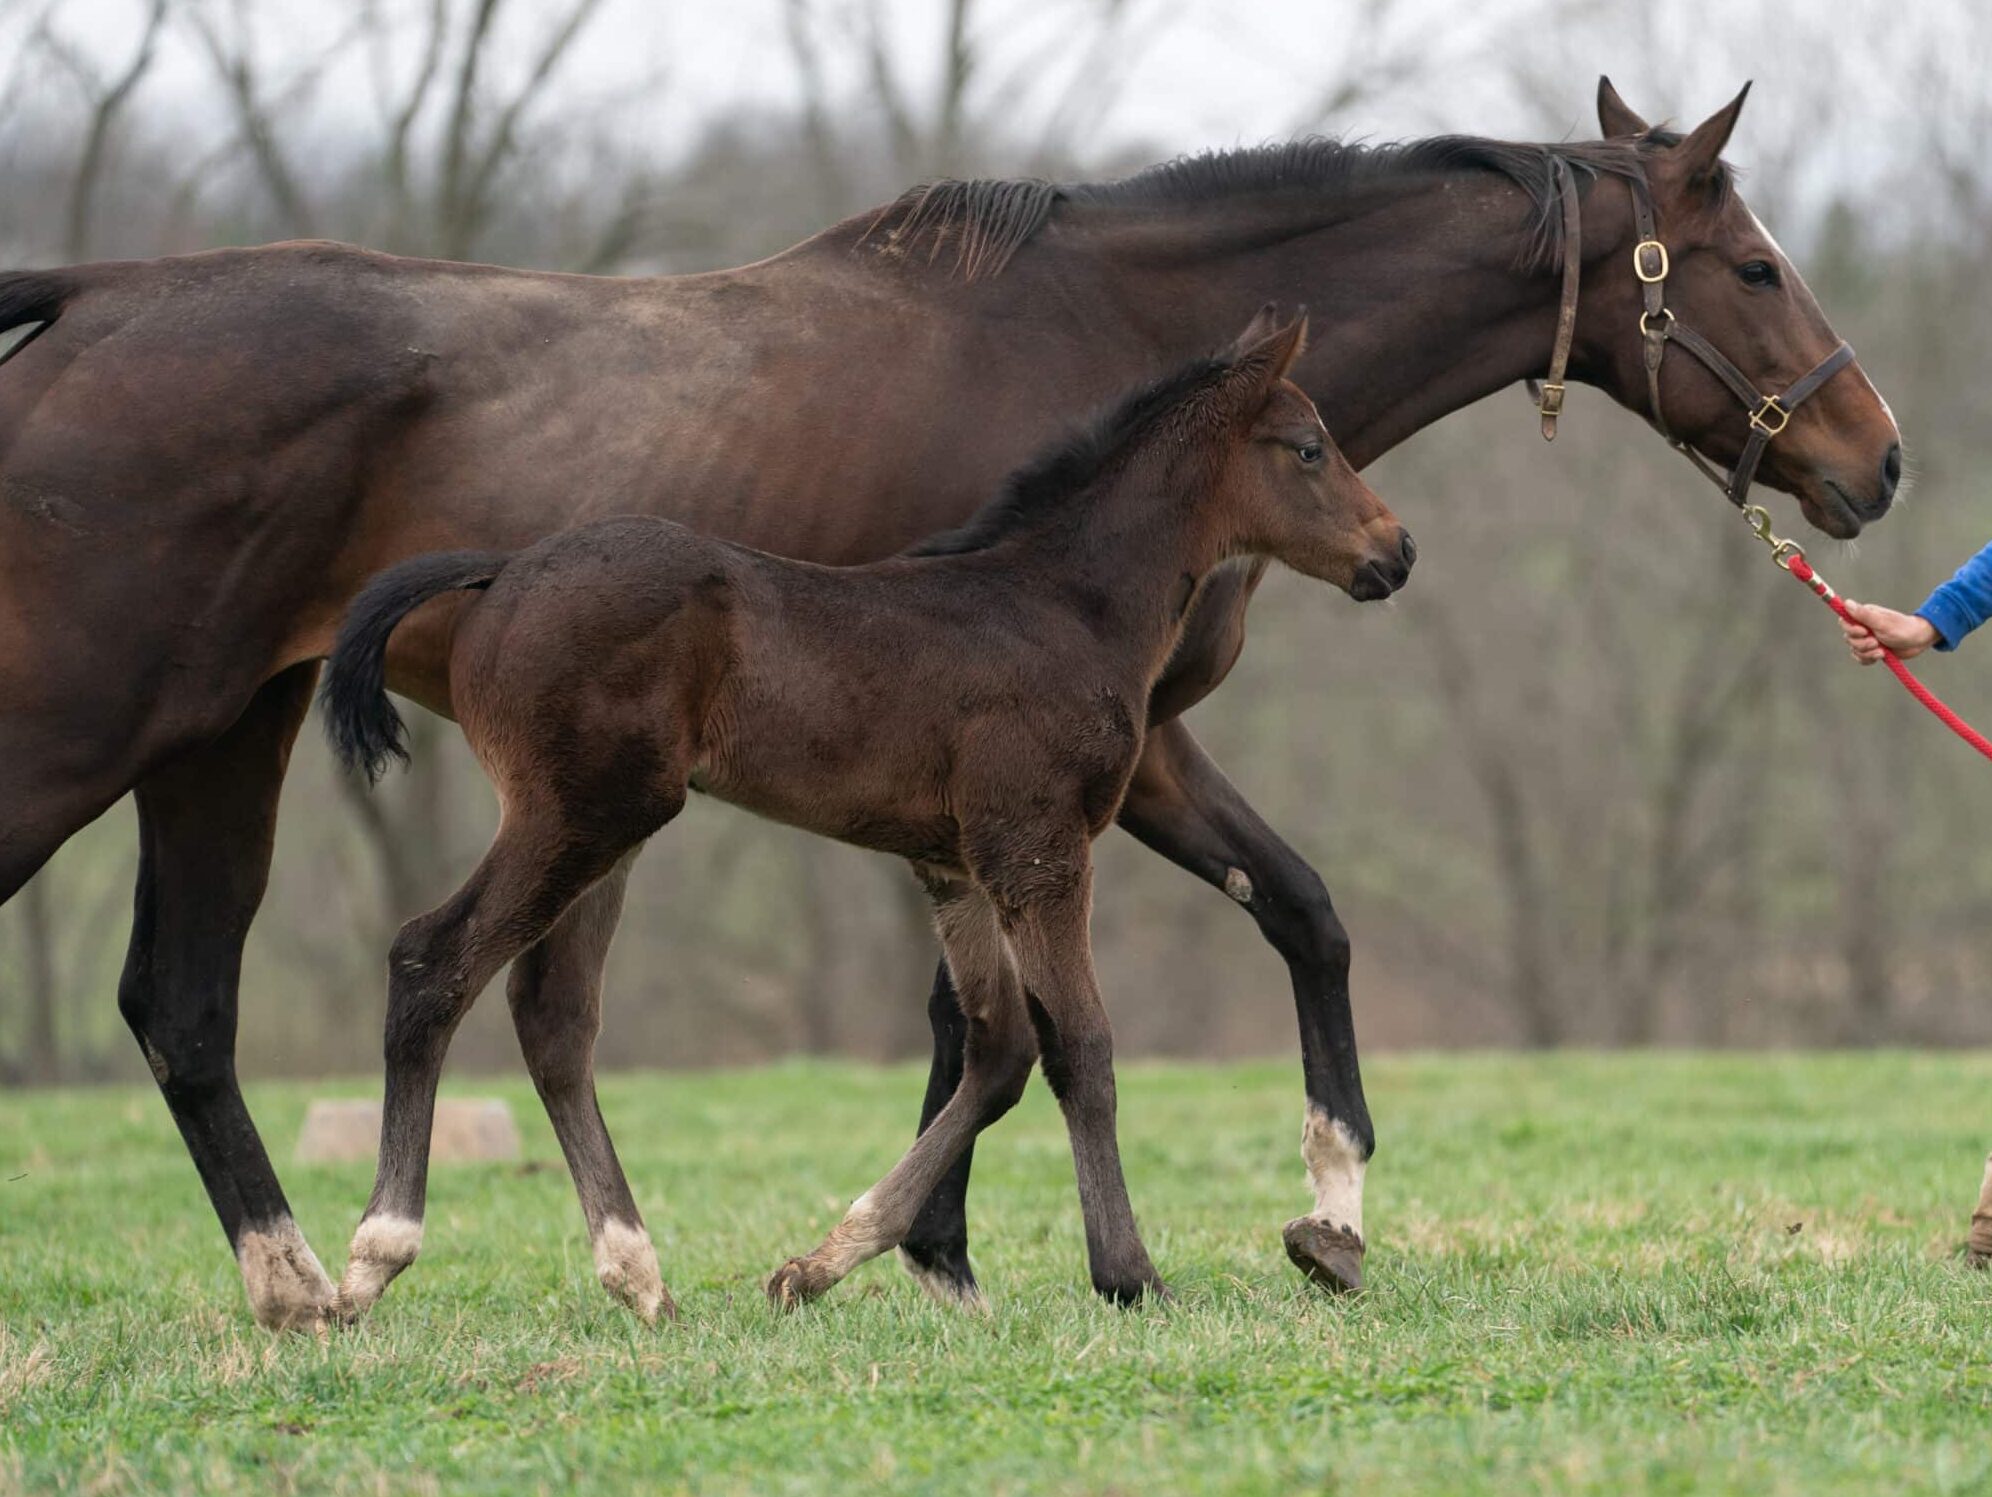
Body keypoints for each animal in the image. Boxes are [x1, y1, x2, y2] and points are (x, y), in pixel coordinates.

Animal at [316, 312, 1411, 1321]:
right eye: (1308, 447)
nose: (1395, 551)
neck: (1062, 605)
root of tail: (500, 571)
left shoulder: (955, 865)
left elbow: (1000, 1052)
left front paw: (821, 1263)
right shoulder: (1039, 850)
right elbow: (1082, 1048)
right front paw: (1129, 1275)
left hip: (606, 832)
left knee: (553, 1011)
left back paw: (637, 1276)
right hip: (575, 815)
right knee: (431, 960)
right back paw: (374, 1257)